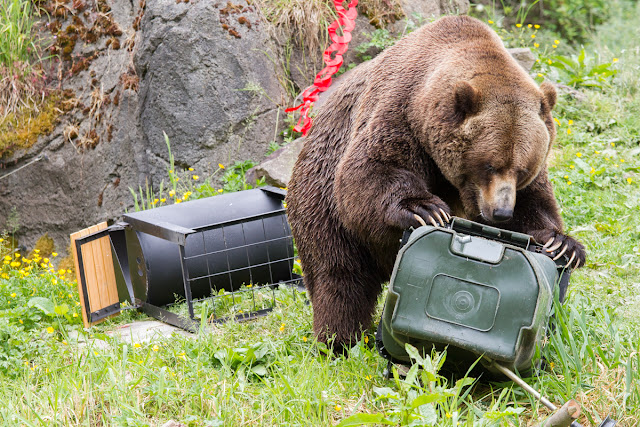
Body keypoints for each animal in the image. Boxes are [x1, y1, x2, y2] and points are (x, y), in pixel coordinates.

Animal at [285, 15, 586, 349]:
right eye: (490, 165)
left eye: (521, 169)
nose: (501, 213)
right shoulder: (400, 112)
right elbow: (372, 170)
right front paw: (427, 210)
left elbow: (535, 205)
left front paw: (562, 243)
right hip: (321, 199)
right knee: (339, 275)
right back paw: (340, 340)